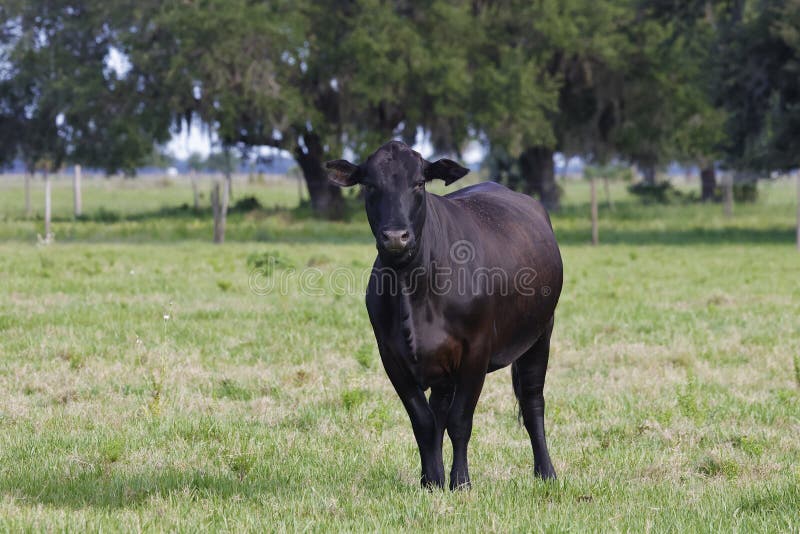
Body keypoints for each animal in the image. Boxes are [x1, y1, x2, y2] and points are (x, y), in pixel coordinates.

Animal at [326, 141, 563, 490]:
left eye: (419, 183)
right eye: (369, 185)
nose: (395, 236)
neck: (413, 286)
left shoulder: (476, 351)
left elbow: (460, 420)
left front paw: (460, 482)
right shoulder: (390, 356)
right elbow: (424, 421)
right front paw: (431, 481)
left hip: (540, 334)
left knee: (533, 402)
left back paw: (545, 472)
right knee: (438, 410)